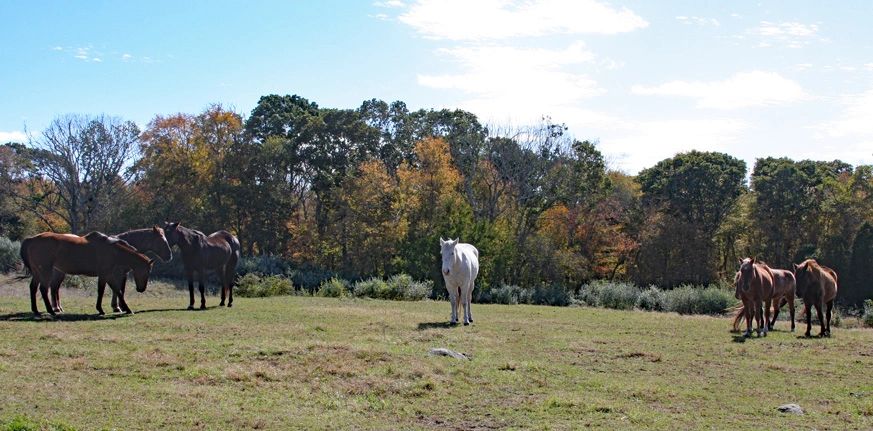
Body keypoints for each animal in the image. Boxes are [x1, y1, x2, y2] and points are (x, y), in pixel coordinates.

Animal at [19, 231, 155, 316]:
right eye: (147, 271)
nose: (141, 289)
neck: (113, 251)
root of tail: (32, 239)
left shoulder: (109, 275)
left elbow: (117, 291)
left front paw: (126, 309)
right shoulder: (104, 274)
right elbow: (103, 291)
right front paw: (101, 309)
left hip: (37, 272)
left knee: (33, 288)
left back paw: (36, 311)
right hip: (45, 271)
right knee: (43, 289)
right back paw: (51, 311)